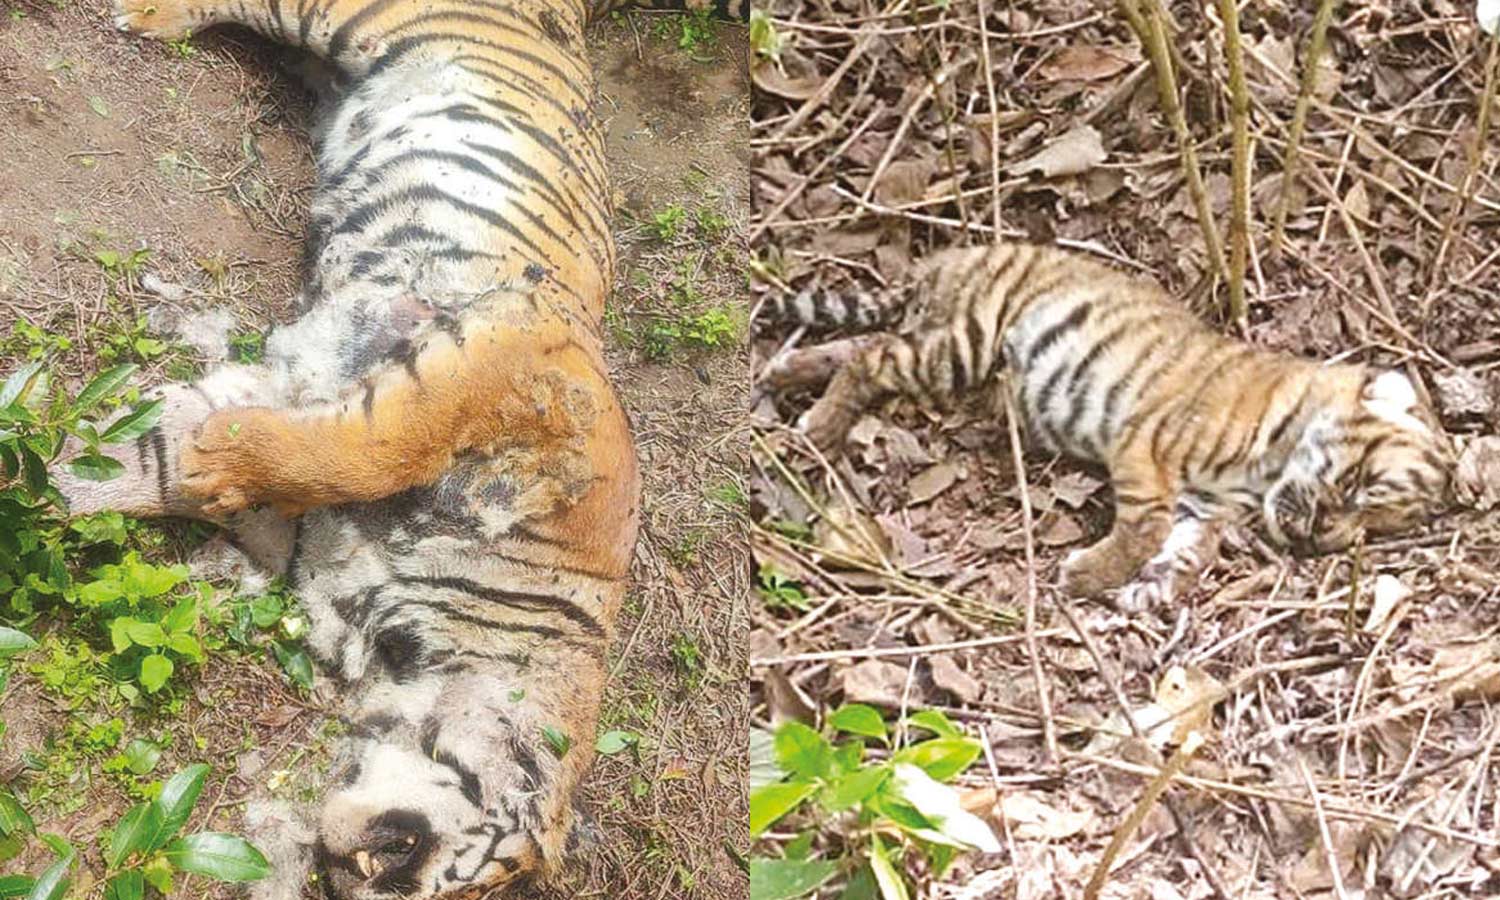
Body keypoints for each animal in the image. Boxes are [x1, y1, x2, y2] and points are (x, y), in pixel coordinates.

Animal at [50, 0, 742, 895]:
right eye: (466, 872)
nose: (353, 873)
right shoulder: (518, 371)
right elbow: (374, 446)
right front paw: (216, 460)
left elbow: (140, 461)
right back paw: (142, 19)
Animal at [768, 241, 1453, 611]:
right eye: (1357, 485)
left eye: (1369, 529)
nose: (1316, 536)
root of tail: (951, 255)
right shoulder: (1148, 446)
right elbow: (1146, 528)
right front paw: (1089, 574)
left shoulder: (1208, 507)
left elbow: (1187, 551)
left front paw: (1149, 591)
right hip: (968, 339)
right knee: (870, 356)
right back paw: (818, 428)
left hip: (942, 340)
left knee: (859, 346)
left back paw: (785, 375)